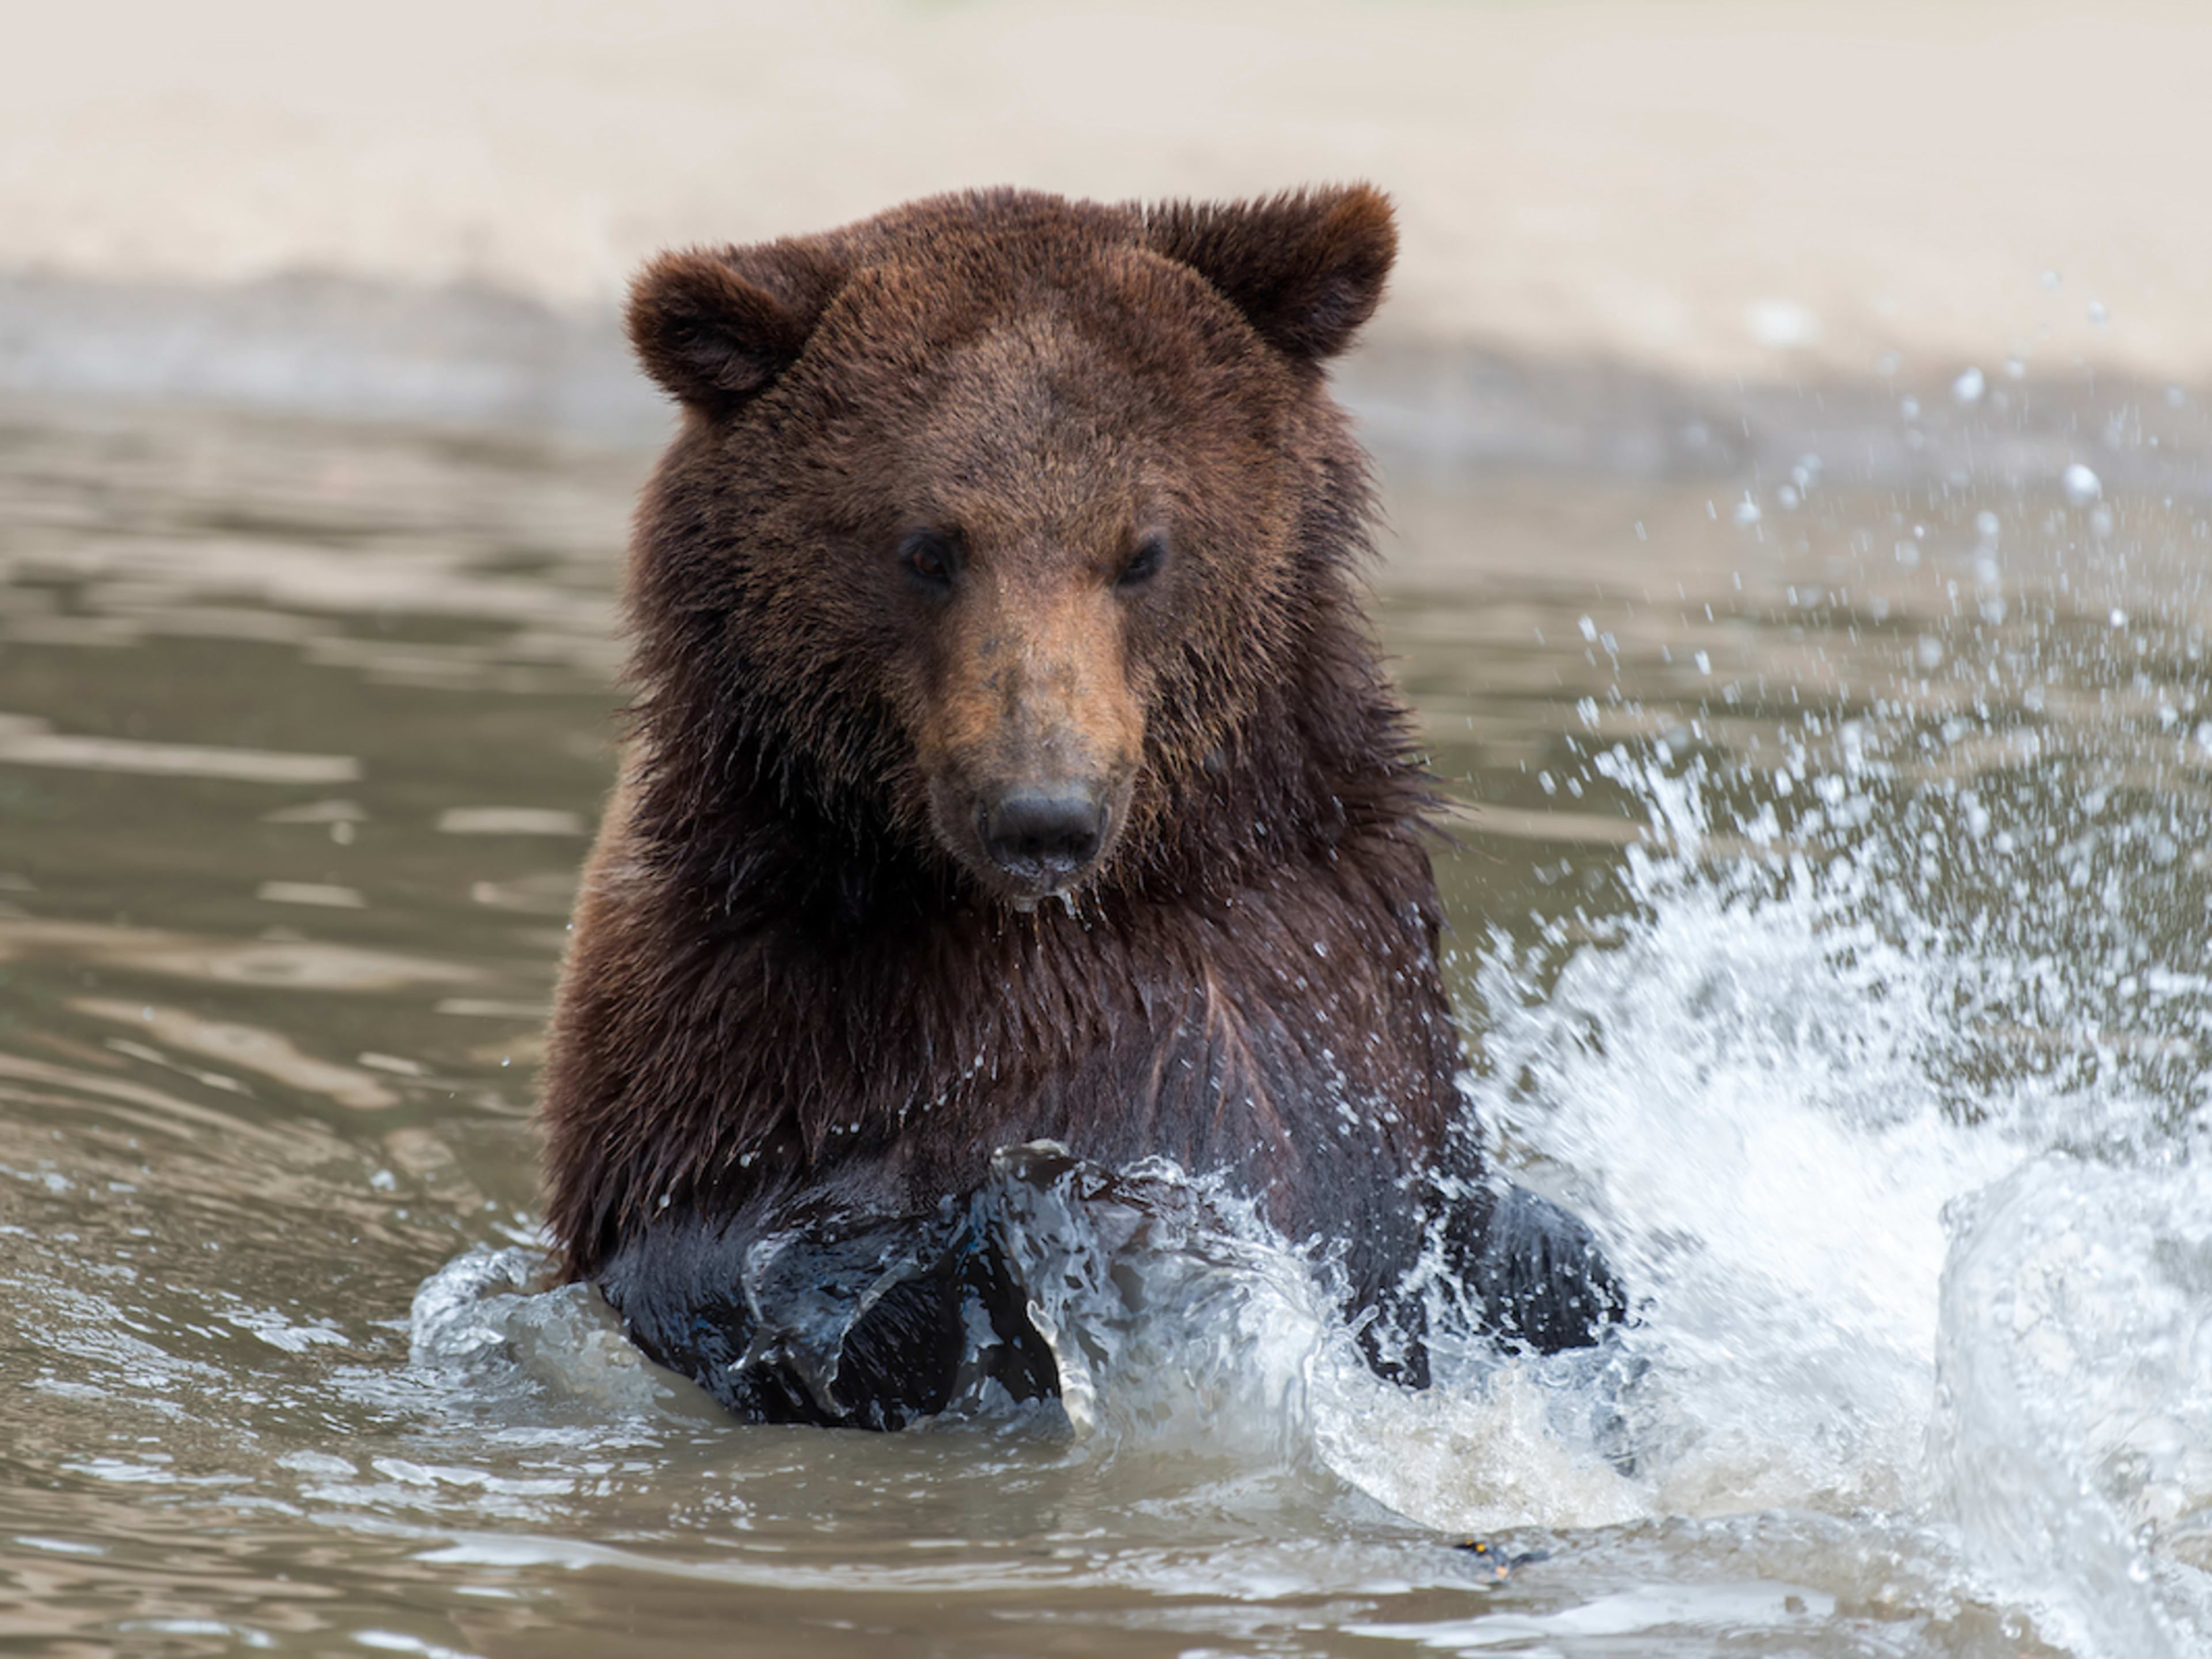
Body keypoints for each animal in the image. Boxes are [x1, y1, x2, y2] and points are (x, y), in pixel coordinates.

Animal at [538, 185, 1622, 1430]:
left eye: (1144, 548)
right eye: (928, 547)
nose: (1042, 812)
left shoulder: (1334, 966)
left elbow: (1502, 1243)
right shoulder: (755, 1024)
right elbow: (772, 1276)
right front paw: (1077, 1210)